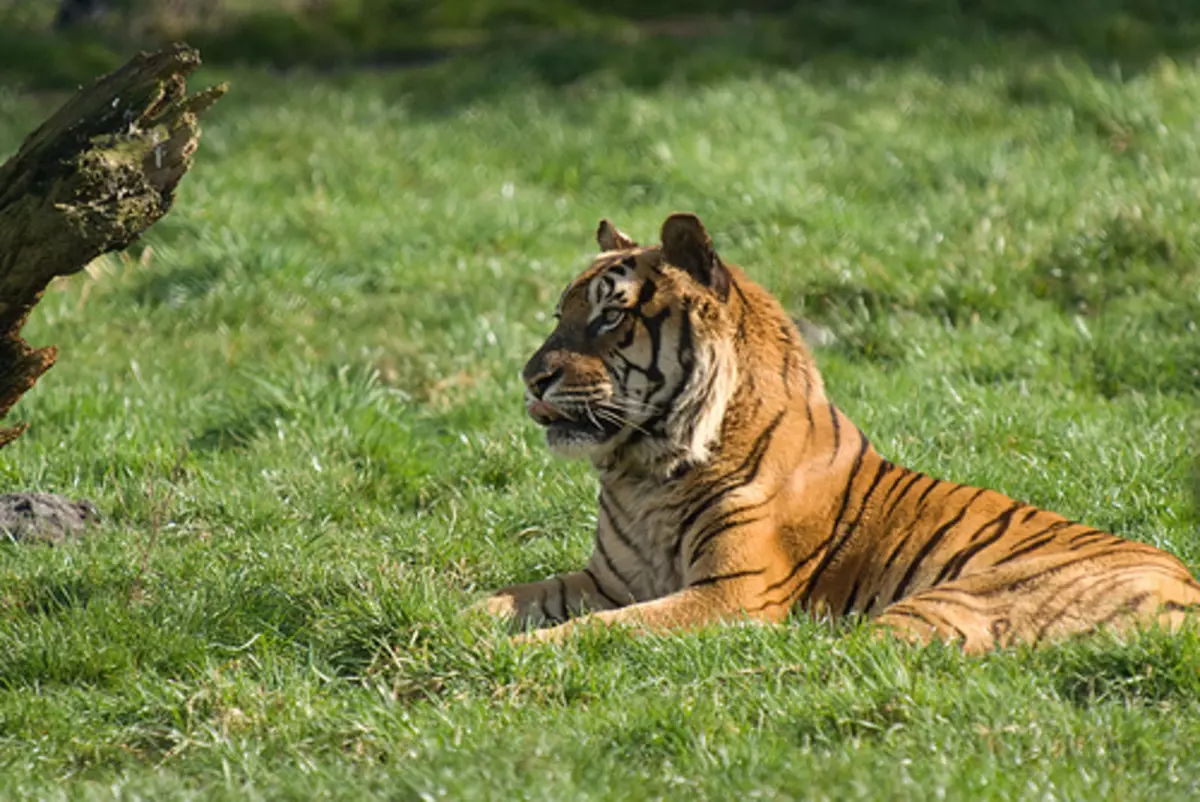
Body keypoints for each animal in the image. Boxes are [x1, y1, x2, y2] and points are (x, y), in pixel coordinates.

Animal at [472, 211, 1195, 653]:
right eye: (560, 313)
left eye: (610, 317)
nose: (530, 378)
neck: (644, 471)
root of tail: (1187, 598)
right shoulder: (606, 581)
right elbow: (505, 597)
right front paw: (459, 621)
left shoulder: (729, 592)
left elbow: (602, 630)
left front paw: (516, 652)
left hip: (942, 601)